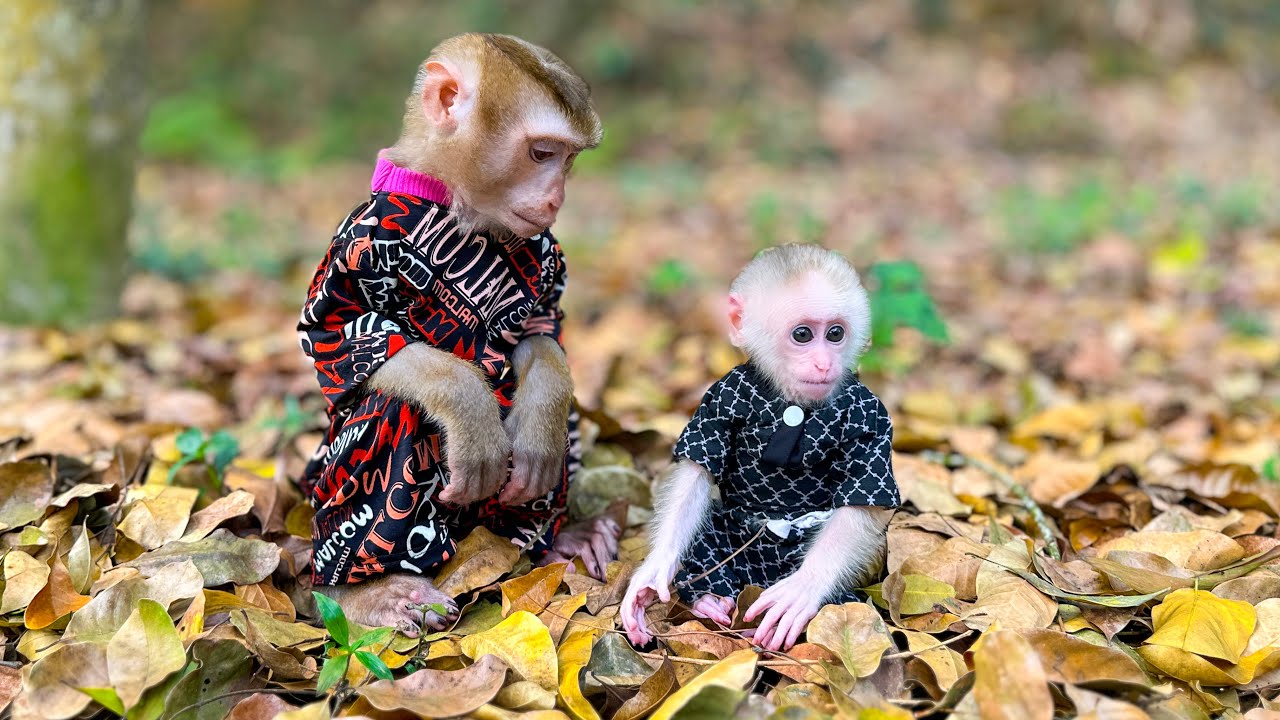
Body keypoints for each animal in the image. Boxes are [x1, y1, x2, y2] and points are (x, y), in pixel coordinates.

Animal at [297, 33, 617, 637]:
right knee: (391, 409)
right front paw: (468, 405)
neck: (458, 210)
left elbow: (543, 333)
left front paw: (540, 419)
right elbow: (343, 334)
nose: (557, 197)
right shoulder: (358, 243)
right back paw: (371, 587)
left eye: (567, 159)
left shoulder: (546, 251)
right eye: (541, 154)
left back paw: (557, 534)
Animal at [621, 244, 900, 652]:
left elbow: (862, 501)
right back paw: (709, 597)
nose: (824, 362)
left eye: (835, 334)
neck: (791, 400)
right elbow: (697, 472)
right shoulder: (720, 394)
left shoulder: (871, 413)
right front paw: (655, 569)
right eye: (803, 335)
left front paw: (804, 588)